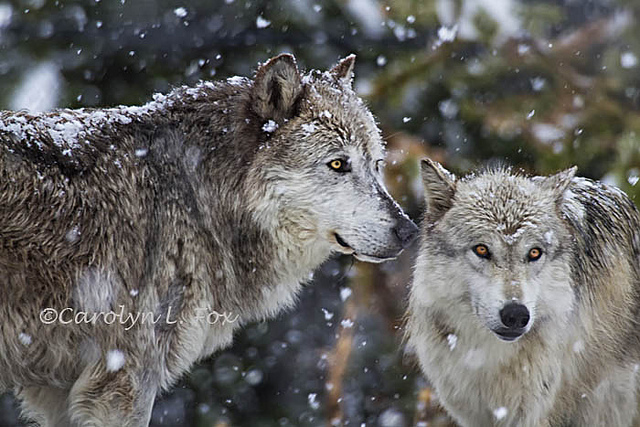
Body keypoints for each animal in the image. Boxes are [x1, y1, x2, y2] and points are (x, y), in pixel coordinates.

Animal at [0, 53, 418, 426]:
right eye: (337, 164)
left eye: (376, 165)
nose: (410, 231)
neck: (196, 197)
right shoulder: (123, 380)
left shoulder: (59, 392)